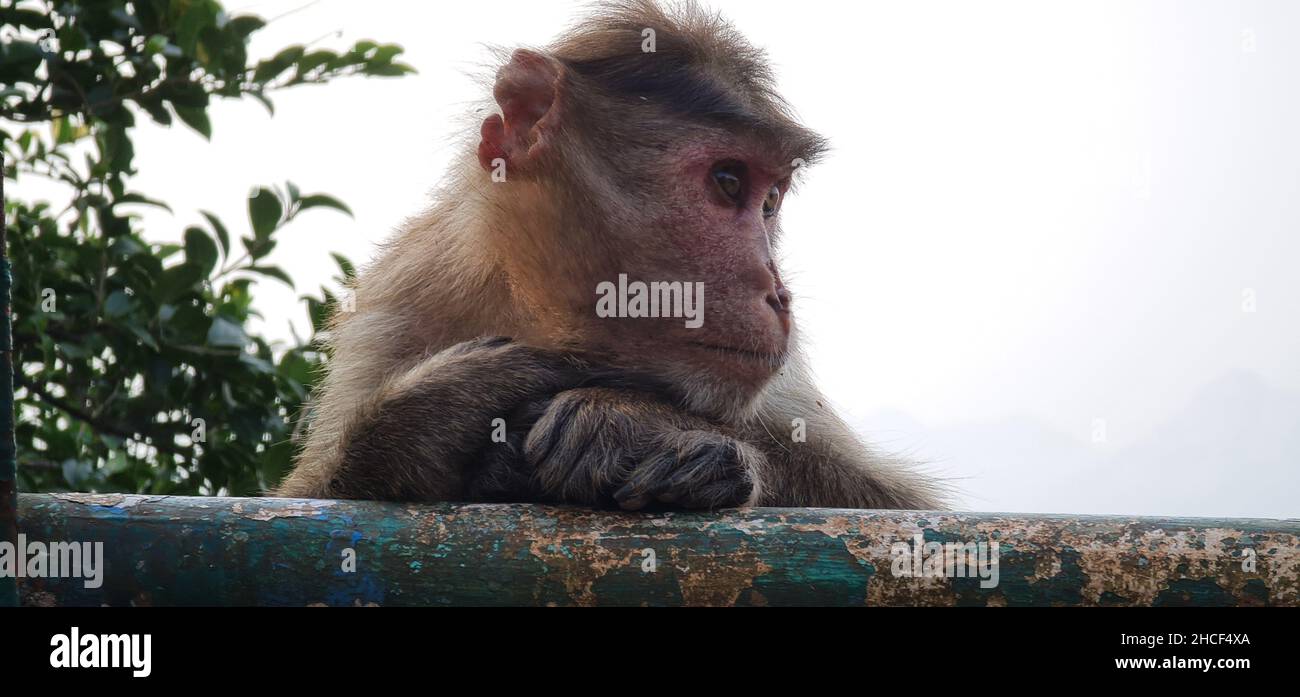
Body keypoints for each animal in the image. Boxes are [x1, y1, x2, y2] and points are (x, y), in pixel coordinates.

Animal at [274, 0, 944, 511]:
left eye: (771, 201)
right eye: (729, 182)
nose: (778, 293)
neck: (541, 310)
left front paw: (634, 421)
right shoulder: (397, 306)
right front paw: (431, 417)